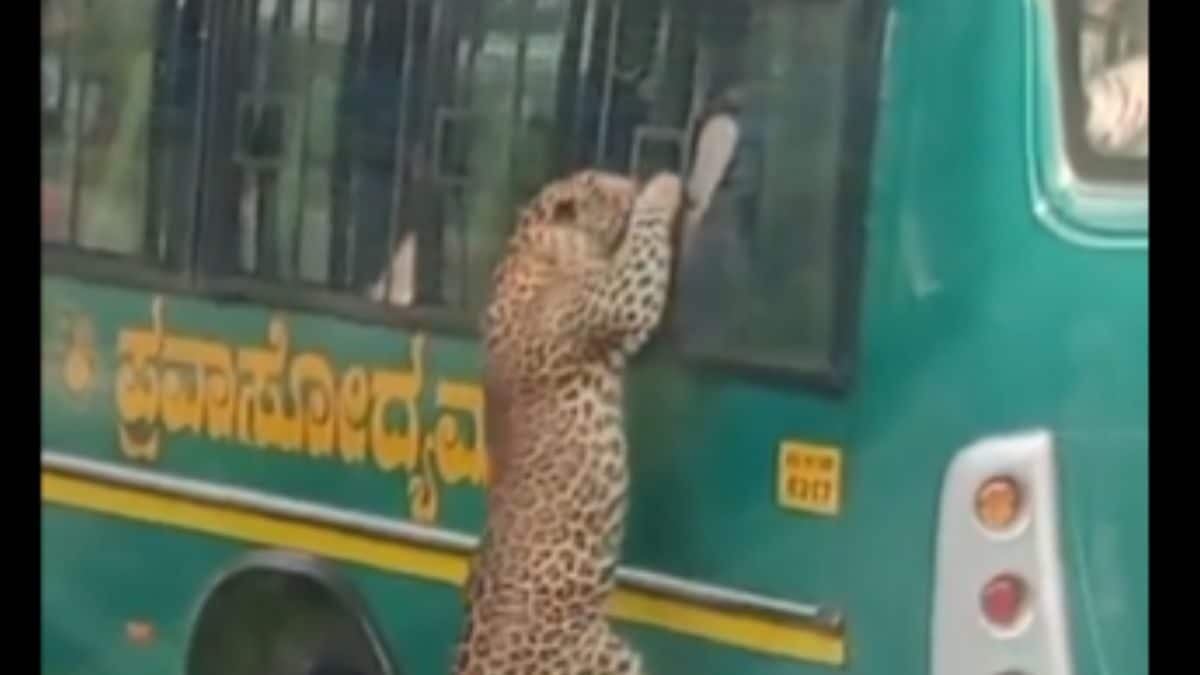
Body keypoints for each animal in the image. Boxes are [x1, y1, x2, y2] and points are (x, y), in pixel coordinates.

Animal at [451, 170, 684, 675]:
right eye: (604, 187)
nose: (630, 179)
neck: (530, 245)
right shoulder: (619, 297)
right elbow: (641, 248)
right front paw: (663, 186)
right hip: (603, 654)